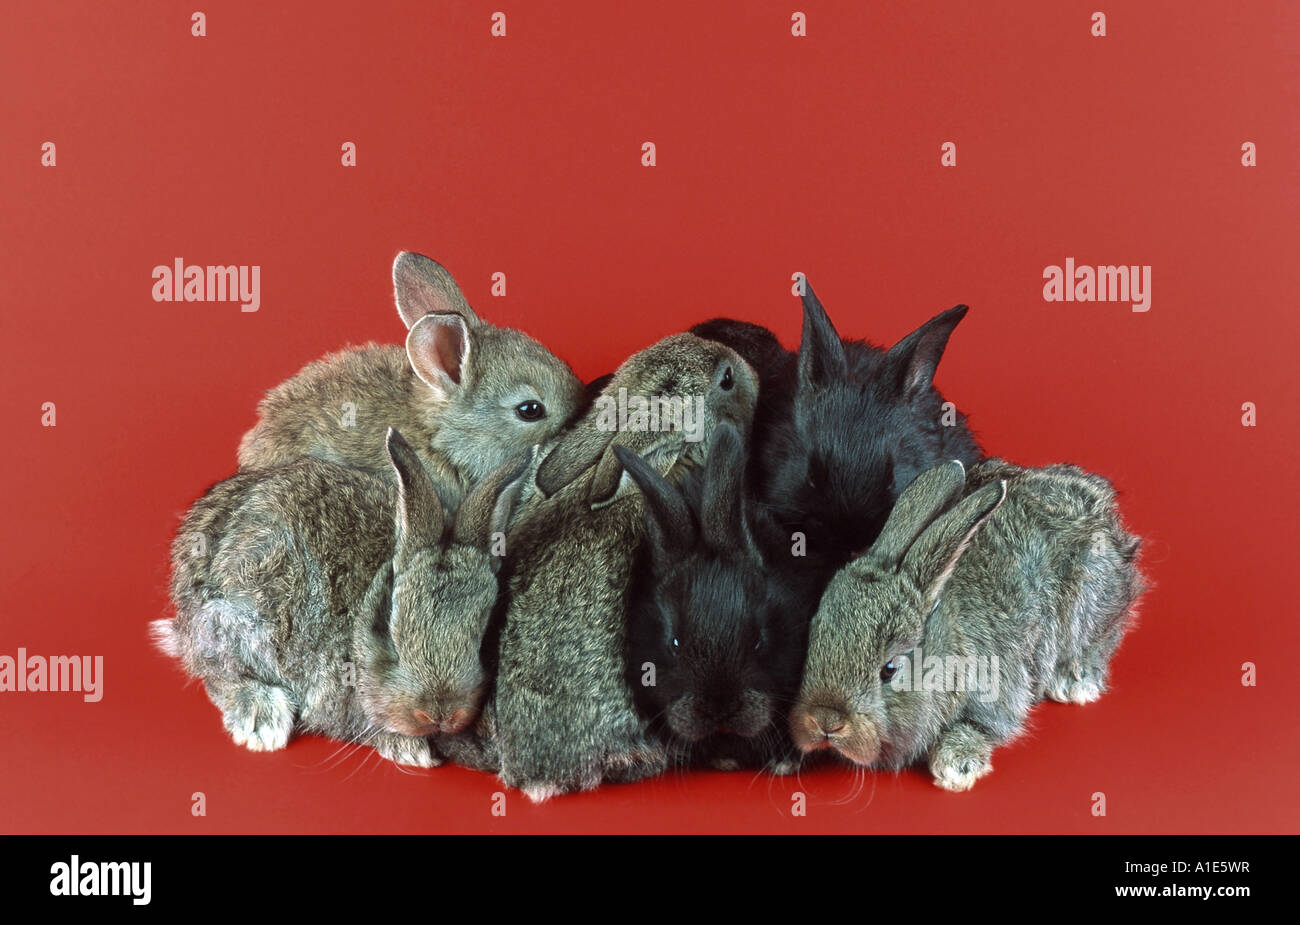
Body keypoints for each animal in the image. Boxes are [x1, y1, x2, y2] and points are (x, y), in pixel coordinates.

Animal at [152, 428, 530, 768]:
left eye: (485, 642)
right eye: (389, 634)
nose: (439, 712)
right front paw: (410, 750)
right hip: (231, 615)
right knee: (217, 672)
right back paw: (261, 719)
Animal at [790, 457, 1146, 791]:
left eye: (889, 669)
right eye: (814, 638)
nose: (826, 721)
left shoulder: (1000, 694)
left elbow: (981, 728)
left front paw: (955, 768)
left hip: (1091, 601)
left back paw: (1074, 683)